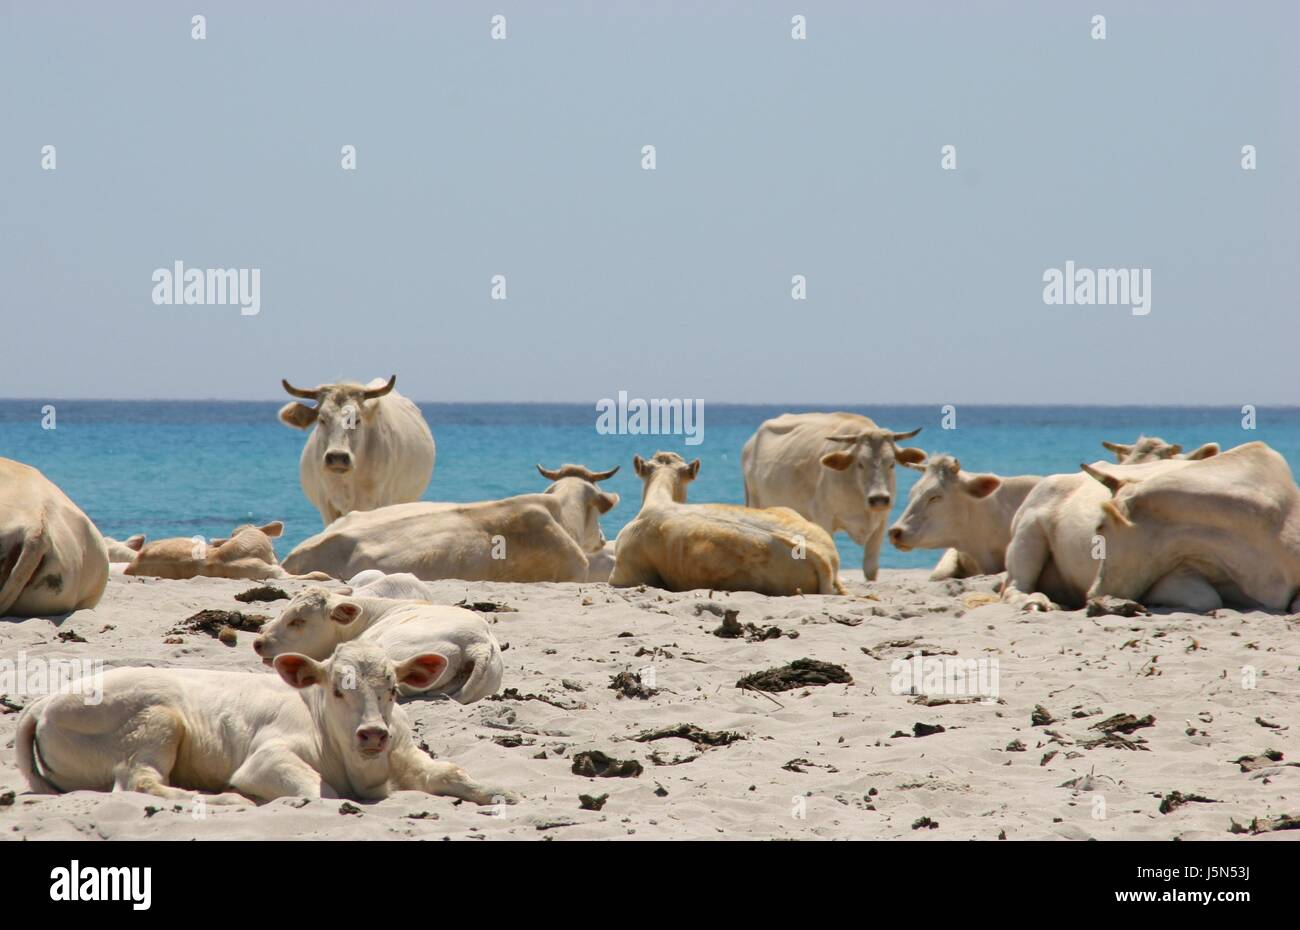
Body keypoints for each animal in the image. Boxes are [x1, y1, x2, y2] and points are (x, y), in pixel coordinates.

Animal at [16, 641, 509, 805]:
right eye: (337, 689)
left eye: (392, 688)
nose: (373, 733)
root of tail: (44, 702)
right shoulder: (266, 756)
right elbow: (319, 791)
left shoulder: (405, 752)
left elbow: (451, 771)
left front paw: (497, 792)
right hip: (157, 720)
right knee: (139, 781)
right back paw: (222, 800)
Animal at [742, 413, 924, 580]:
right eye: (860, 464)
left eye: (892, 463)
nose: (879, 498)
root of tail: (750, 444)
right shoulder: (823, 516)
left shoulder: (882, 520)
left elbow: (871, 568)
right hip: (755, 501)